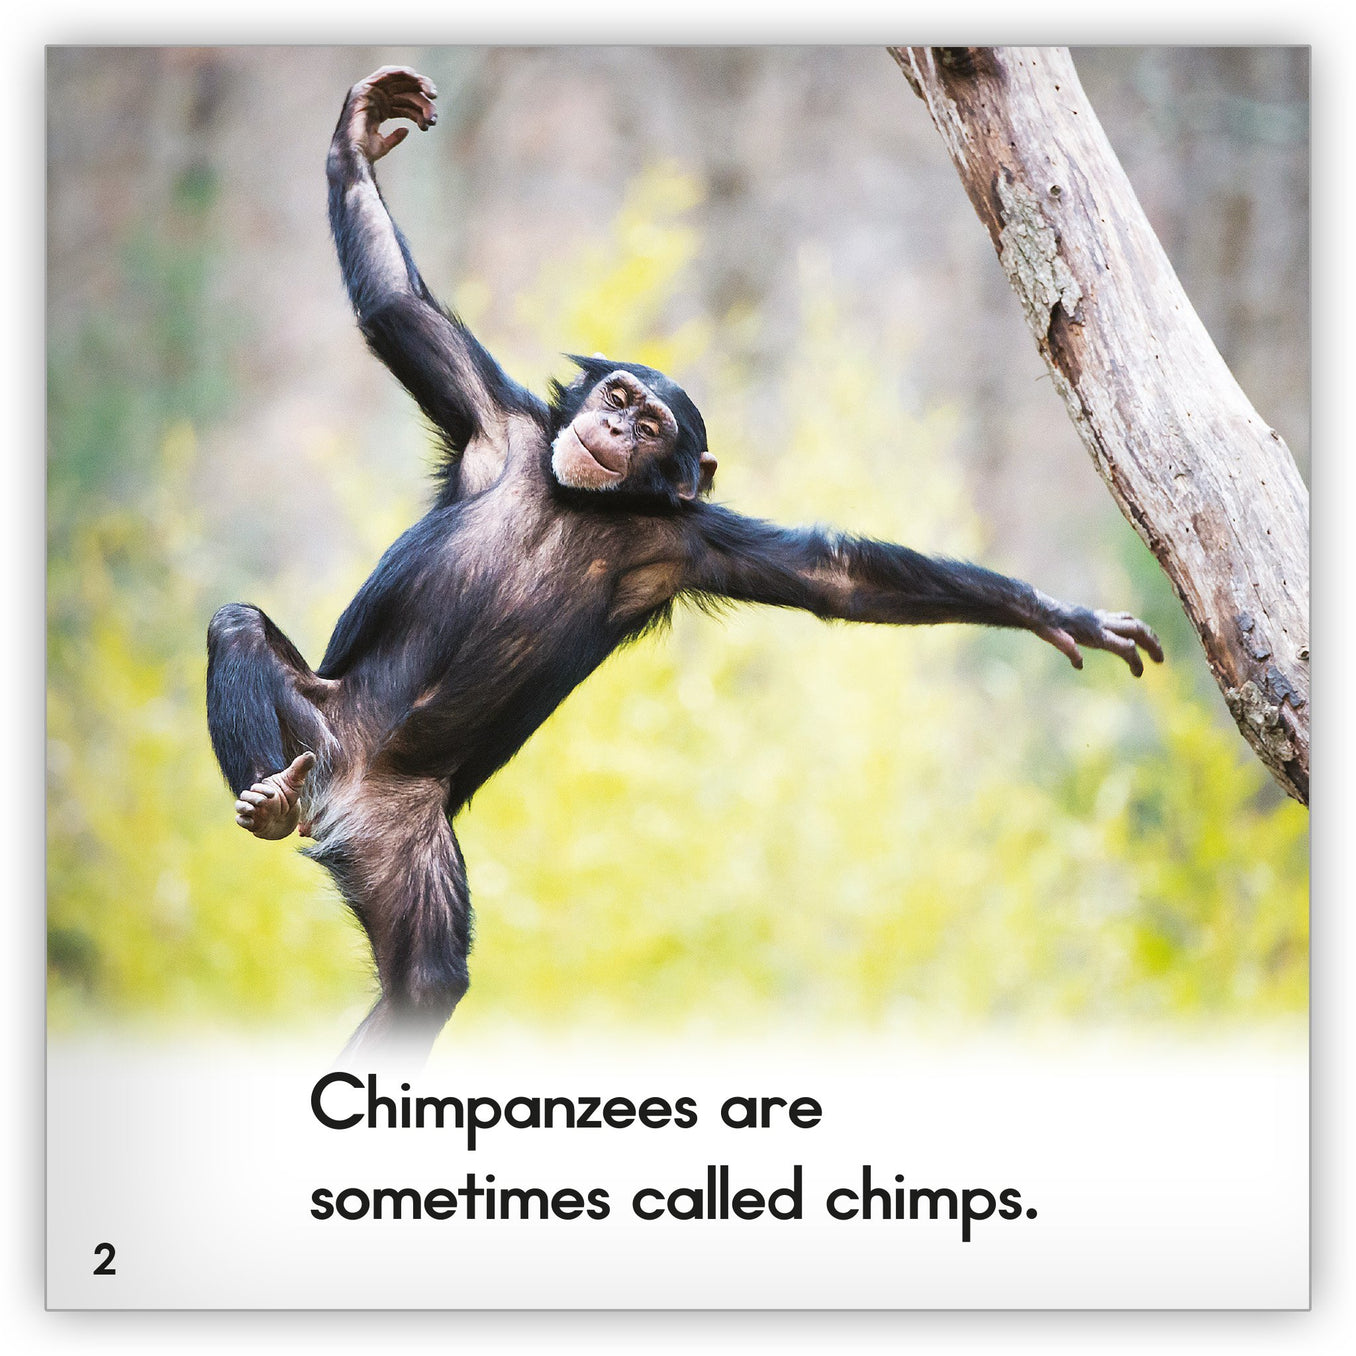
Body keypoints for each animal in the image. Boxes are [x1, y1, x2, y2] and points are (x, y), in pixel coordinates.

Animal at [206, 67, 1163, 1062]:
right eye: (620, 394)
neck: (585, 502)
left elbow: (841, 575)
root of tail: (338, 808)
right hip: (318, 734)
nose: (619, 425)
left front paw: (1057, 614)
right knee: (237, 630)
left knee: (425, 982)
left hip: (404, 841)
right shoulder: (492, 420)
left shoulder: (690, 543)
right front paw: (359, 133)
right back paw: (265, 800)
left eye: (654, 423)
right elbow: (396, 308)